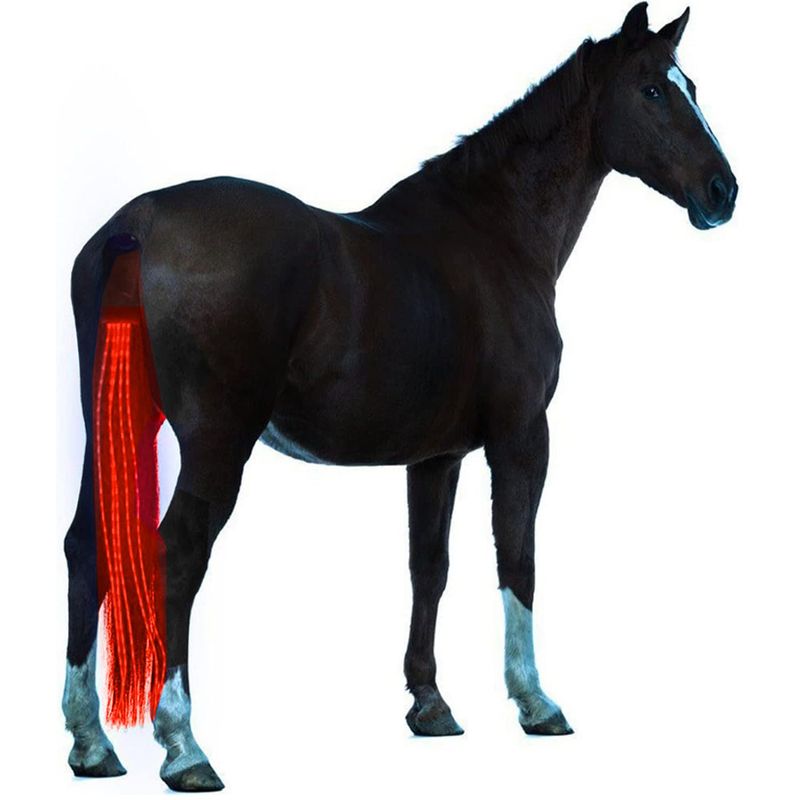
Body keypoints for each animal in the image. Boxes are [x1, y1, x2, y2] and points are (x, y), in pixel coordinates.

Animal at [62, 3, 737, 791]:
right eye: (653, 90)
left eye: (691, 86)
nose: (723, 192)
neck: (495, 233)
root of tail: (136, 223)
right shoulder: (522, 436)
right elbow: (518, 557)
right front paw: (536, 702)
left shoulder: (436, 457)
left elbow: (429, 567)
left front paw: (430, 704)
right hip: (217, 441)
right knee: (178, 554)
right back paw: (185, 747)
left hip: (113, 424)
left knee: (84, 547)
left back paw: (90, 742)